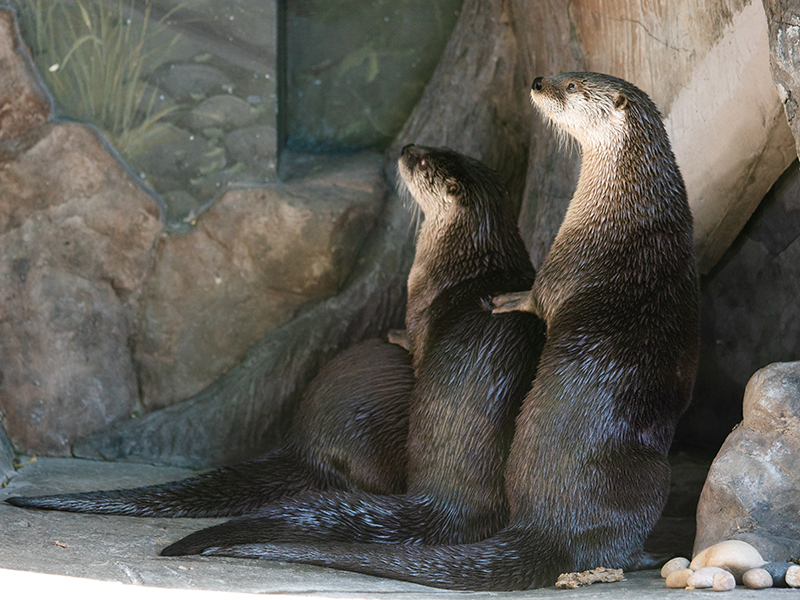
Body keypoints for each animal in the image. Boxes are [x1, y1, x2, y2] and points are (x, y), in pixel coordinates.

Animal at [160, 73, 700, 592]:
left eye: (423, 162)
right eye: (435, 149)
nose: (404, 148)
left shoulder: (458, 296)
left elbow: (453, 328)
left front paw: (407, 332)